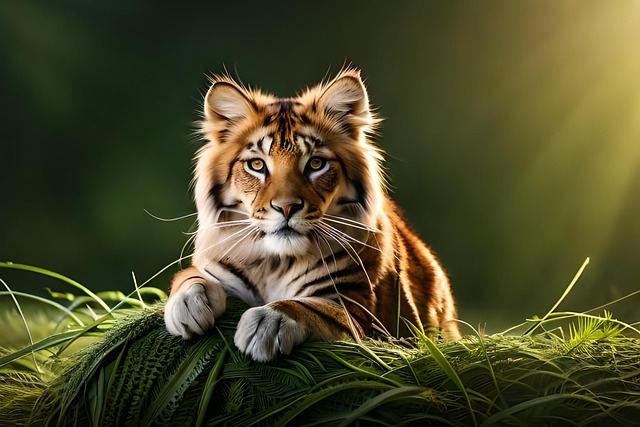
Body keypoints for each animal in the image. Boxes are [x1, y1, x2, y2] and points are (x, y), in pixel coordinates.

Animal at [164, 68, 460, 362]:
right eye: (257, 165)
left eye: (316, 164)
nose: (286, 207)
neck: (275, 262)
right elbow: (188, 276)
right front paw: (187, 305)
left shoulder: (363, 315)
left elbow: (310, 307)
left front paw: (265, 323)